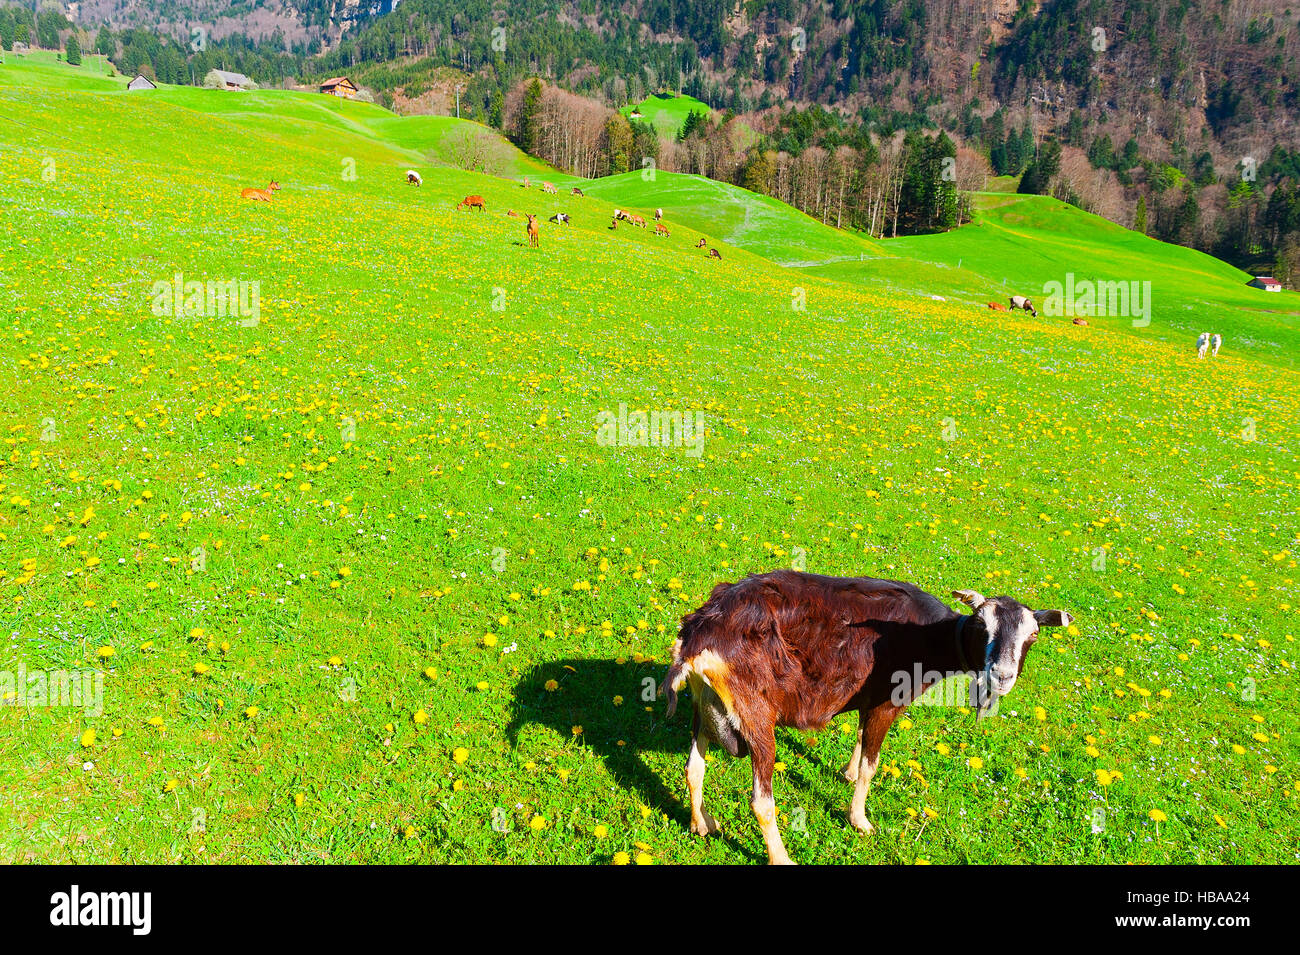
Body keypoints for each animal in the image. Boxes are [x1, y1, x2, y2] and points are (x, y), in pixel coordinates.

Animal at [660, 571, 1073, 865]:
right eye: (981, 625)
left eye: (1033, 635)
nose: (1002, 676)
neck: (931, 635)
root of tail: (698, 638)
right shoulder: (889, 702)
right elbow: (872, 765)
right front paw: (860, 819)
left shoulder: (867, 698)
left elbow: (859, 739)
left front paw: (846, 772)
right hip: (756, 714)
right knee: (761, 800)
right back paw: (781, 858)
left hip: (704, 706)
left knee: (693, 768)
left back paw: (702, 824)